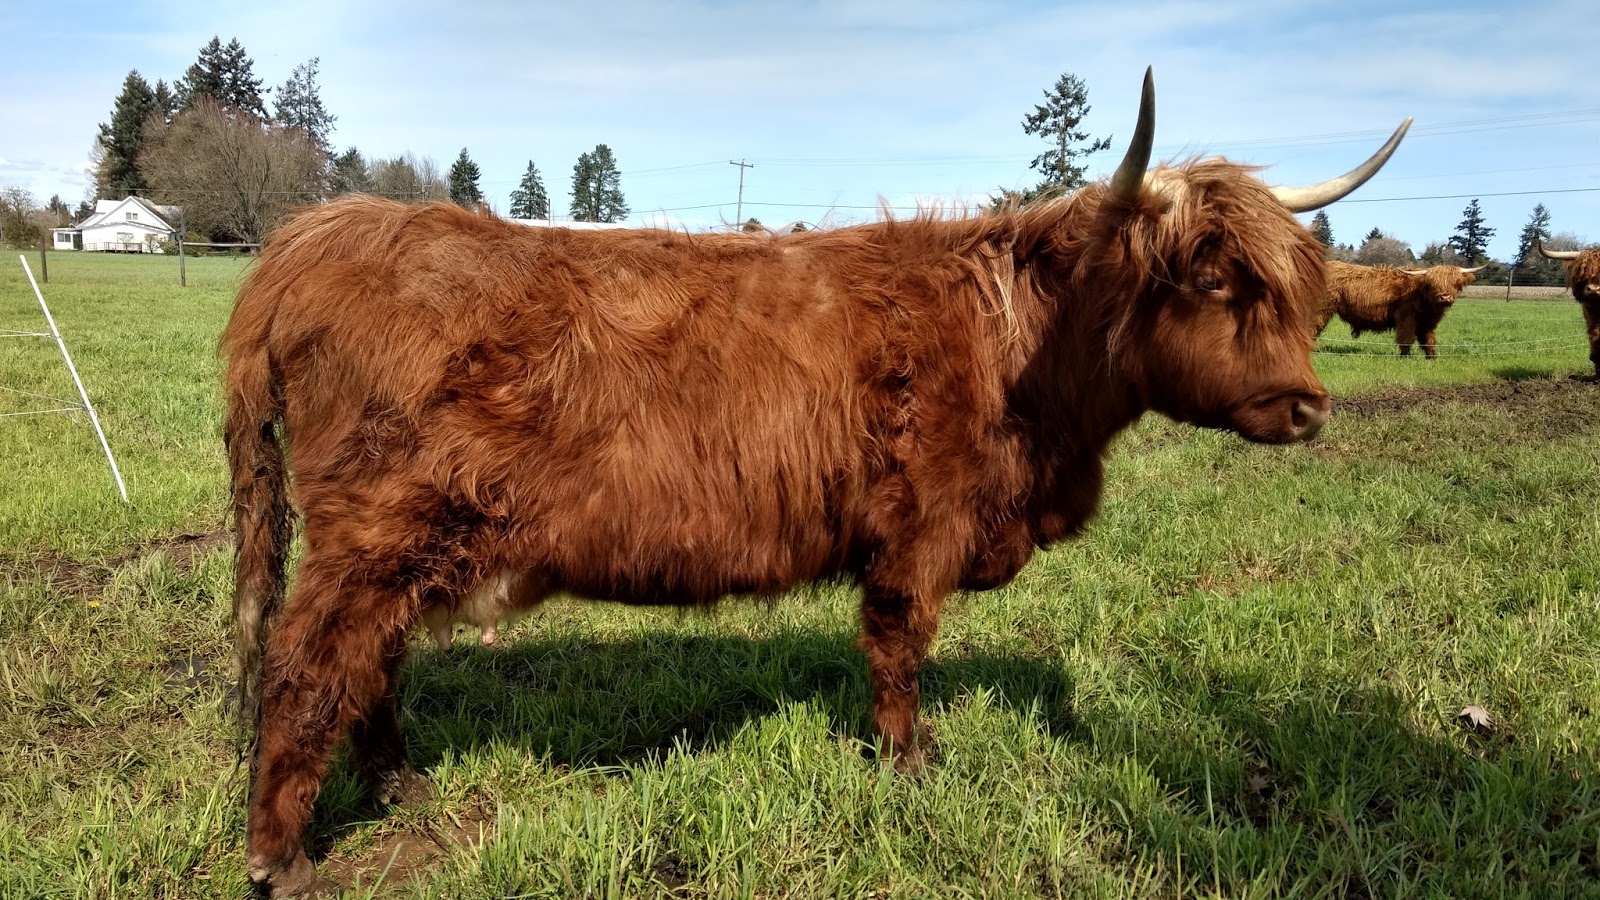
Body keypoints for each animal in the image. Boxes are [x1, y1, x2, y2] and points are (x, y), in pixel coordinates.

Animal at [222, 69, 1411, 896]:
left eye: (1298, 285)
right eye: (1210, 276)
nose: (1307, 405)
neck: (1025, 362)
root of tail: (321, 231)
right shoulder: (919, 527)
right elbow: (899, 648)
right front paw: (912, 765)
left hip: (398, 548)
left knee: (366, 664)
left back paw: (398, 784)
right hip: (375, 533)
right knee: (305, 666)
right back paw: (285, 856)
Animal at [1311, 261, 1485, 358]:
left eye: (1455, 282)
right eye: (1433, 283)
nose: (1445, 296)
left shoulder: (1426, 323)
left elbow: (1428, 341)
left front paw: (1432, 358)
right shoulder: (1406, 317)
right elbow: (1406, 338)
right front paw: (1404, 357)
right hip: (1320, 310)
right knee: (1312, 329)